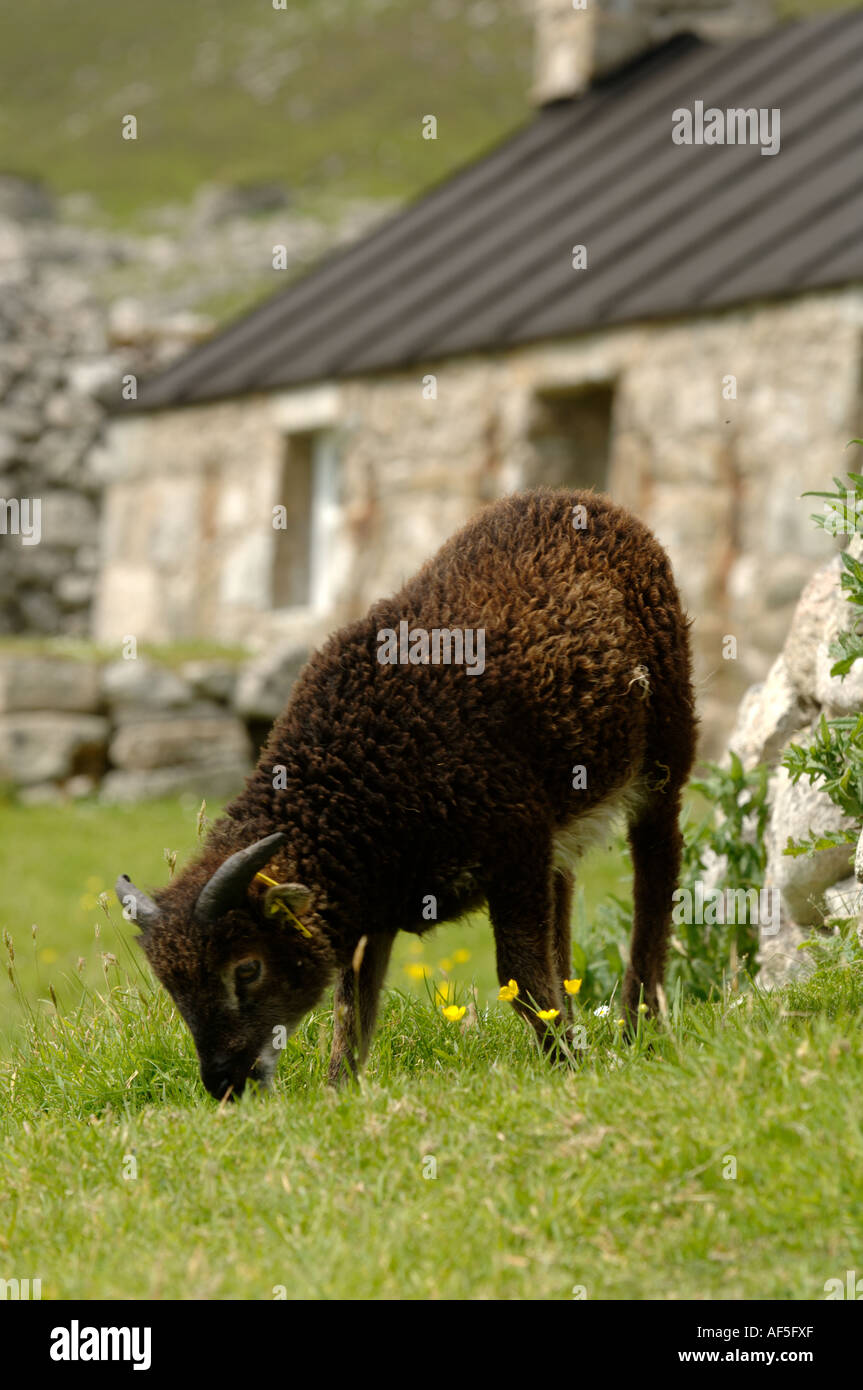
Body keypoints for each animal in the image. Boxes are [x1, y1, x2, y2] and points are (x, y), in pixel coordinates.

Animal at [116, 488, 697, 1099]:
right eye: (173, 988)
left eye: (246, 968)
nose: (225, 1084)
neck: (358, 782)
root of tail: (582, 500)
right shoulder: (372, 907)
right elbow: (353, 1009)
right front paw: (338, 1093)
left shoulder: (515, 848)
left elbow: (518, 976)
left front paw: (567, 1065)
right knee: (563, 905)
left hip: (665, 747)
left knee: (657, 871)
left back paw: (642, 1025)